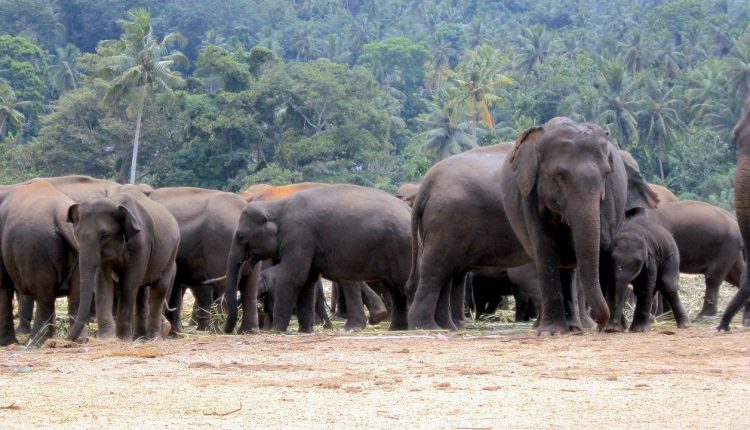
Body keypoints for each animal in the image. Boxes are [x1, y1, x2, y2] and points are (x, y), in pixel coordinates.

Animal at [0, 181, 80, 346]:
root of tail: (61, 217)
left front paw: (6, 343)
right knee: (76, 295)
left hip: (35, 249)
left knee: (44, 294)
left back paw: (34, 342)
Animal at [67, 186, 180, 341]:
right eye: (77, 235)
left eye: (105, 235)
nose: (67, 339)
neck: (115, 202)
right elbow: (102, 281)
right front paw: (106, 338)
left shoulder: (141, 243)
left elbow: (129, 282)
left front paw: (123, 339)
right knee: (141, 293)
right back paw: (139, 337)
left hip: (171, 255)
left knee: (159, 289)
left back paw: (154, 338)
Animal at [223, 184, 412, 333]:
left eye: (240, 236)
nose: (228, 330)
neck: (277, 206)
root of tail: (409, 211)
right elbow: (307, 281)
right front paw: (304, 331)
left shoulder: (299, 238)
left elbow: (291, 278)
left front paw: (276, 330)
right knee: (396, 289)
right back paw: (395, 328)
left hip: (401, 248)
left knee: (404, 285)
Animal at [407, 118, 658, 334]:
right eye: (559, 176)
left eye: (607, 175)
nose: (601, 321)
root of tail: (426, 185)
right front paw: (562, 328)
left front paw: (576, 327)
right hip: (447, 223)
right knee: (437, 269)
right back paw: (425, 327)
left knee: (448, 272)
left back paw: (446, 327)